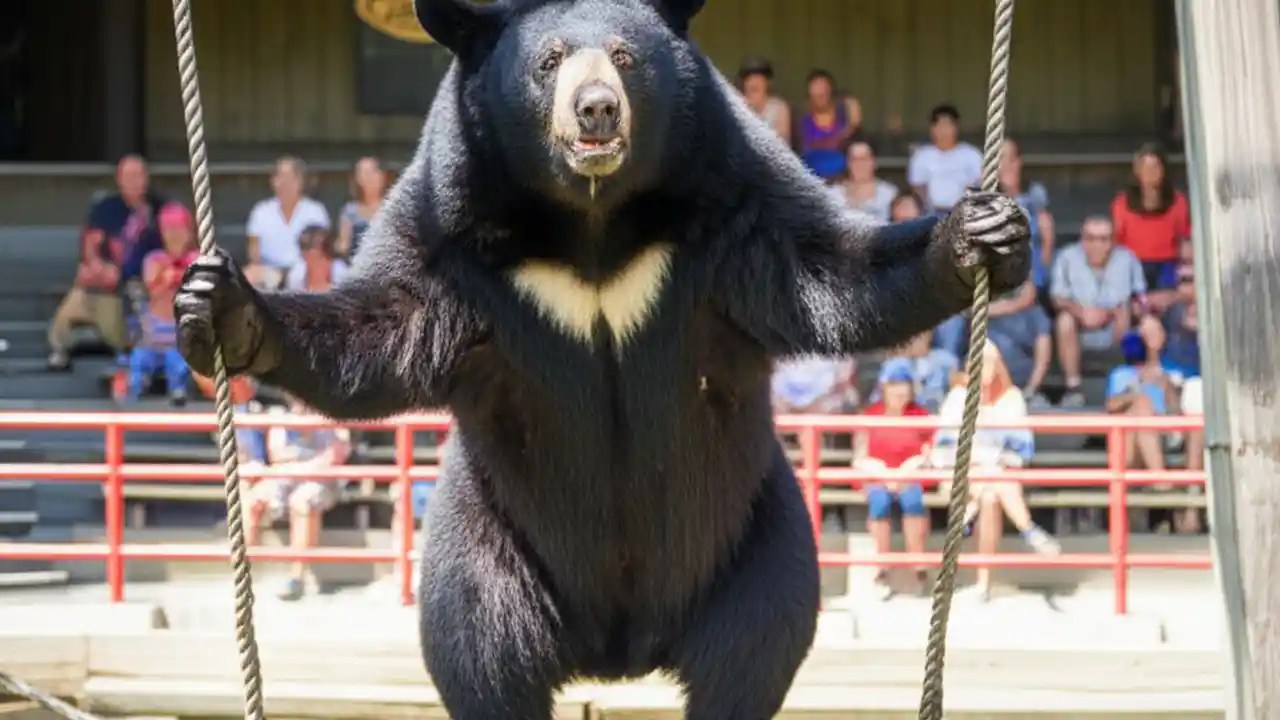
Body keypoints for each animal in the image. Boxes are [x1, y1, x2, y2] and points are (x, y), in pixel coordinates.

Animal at [174, 0, 1031, 717]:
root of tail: (620, 651)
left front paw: (980, 235)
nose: (596, 108)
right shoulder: (446, 227)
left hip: (759, 536)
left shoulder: (734, 194)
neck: (591, 223)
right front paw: (225, 309)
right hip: (484, 538)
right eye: (548, 61)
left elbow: (832, 274)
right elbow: (384, 325)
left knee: (754, 651)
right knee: (480, 650)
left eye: (624, 55)